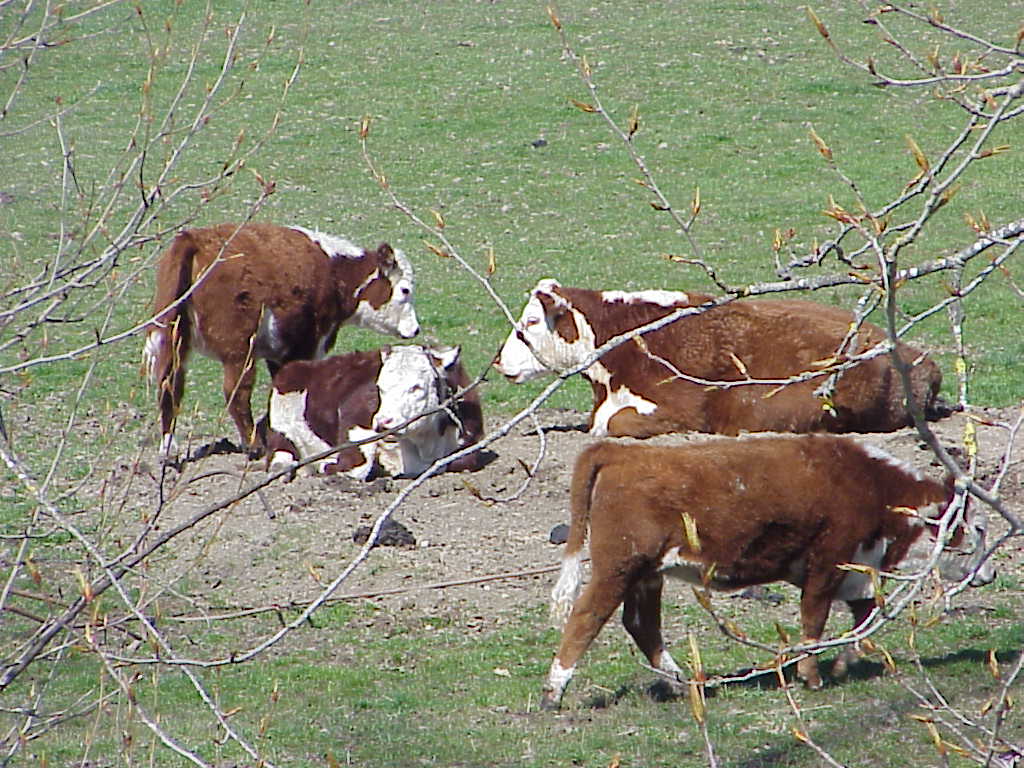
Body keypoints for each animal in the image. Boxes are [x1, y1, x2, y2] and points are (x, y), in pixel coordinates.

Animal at [142, 223, 419, 458]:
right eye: (405, 290)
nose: (415, 329)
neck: (333, 272)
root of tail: (193, 239)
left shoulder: (281, 350)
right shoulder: (306, 344)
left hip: (175, 339)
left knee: (170, 385)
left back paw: (169, 451)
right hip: (239, 350)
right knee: (236, 392)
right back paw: (253, 445)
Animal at [265, 344, 485, 480]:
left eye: (416, 387)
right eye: (380, 387)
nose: (383, 422)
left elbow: (464, 460)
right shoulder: (354, 412)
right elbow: (356, 466)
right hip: (280, 426)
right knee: (280, 452)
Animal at [540, 435, 996, 709]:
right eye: (978, 527)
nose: (989, 574)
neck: (871, 486)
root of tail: (623, 451)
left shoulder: (857, 568)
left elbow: (862, 620)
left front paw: (842, 666)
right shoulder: (828, 561)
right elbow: (814, 619)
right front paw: (811, 677)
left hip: (646, 574)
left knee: (642, 624)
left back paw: (683, 683)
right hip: (617, 567)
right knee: (586, 618)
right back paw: (554, 692)